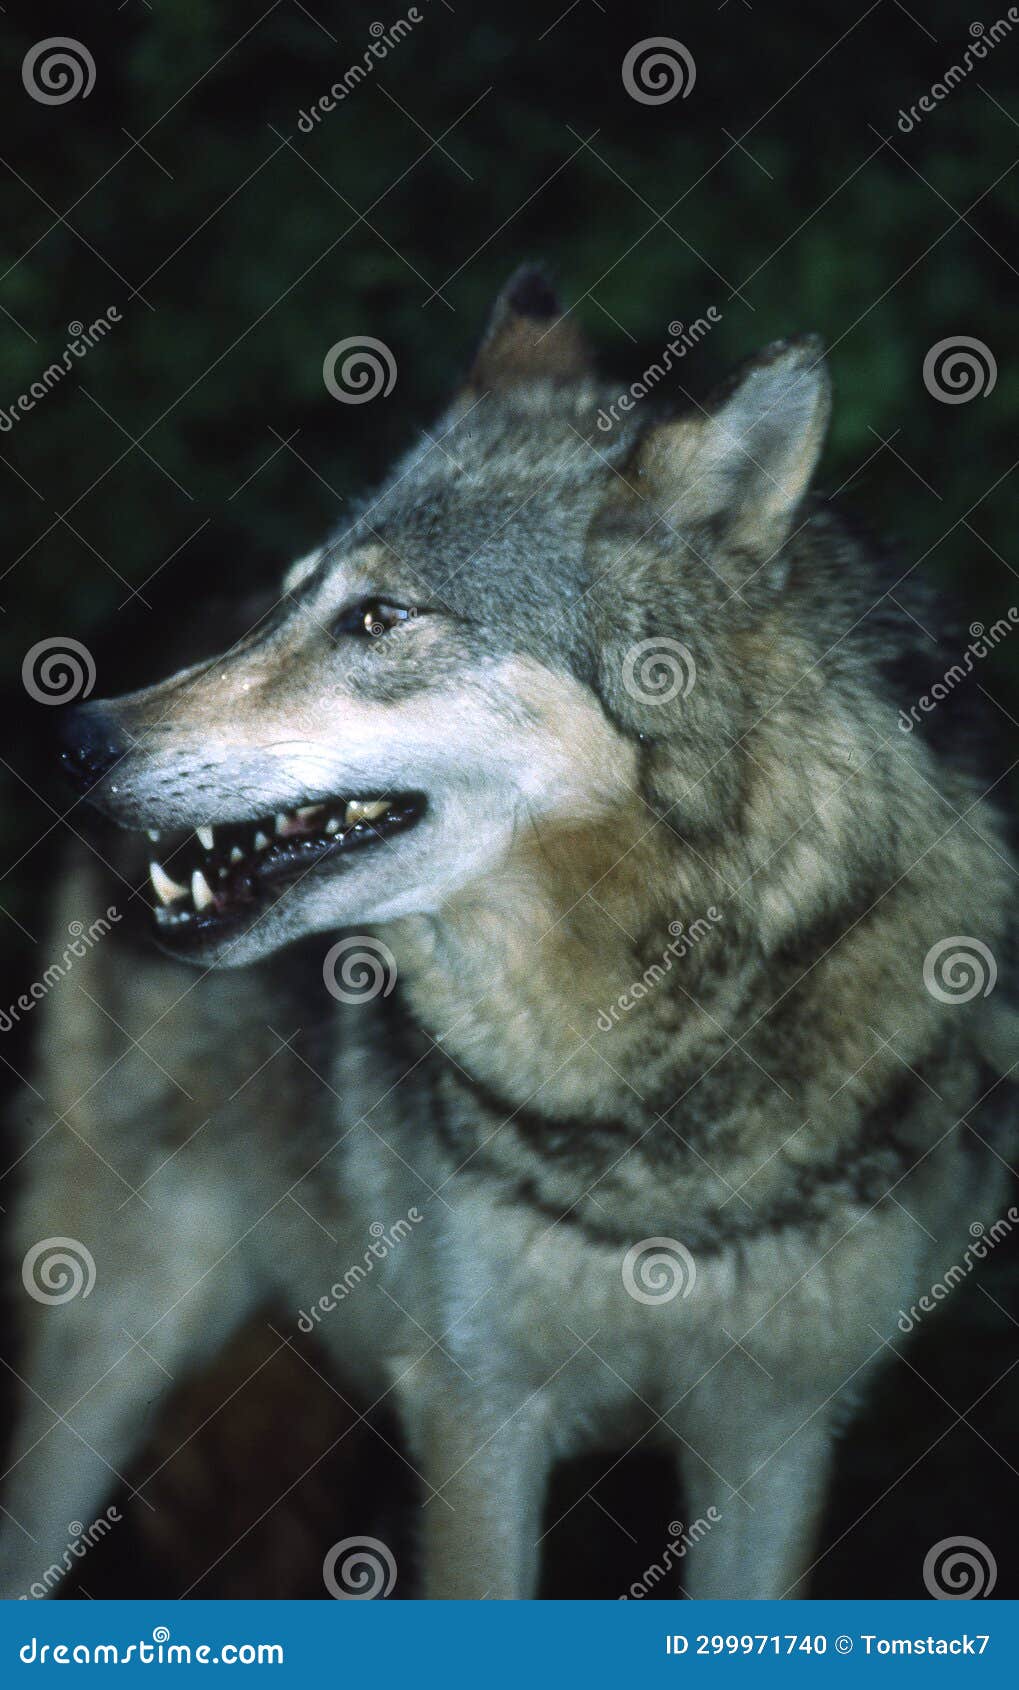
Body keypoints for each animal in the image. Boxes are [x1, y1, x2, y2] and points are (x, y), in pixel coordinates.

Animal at [1, 268, 1015, 1600]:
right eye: (290, 605)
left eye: (379, 618)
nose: (76, 741)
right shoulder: (476, 1408)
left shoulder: (775, 1433)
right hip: (113, 1325)